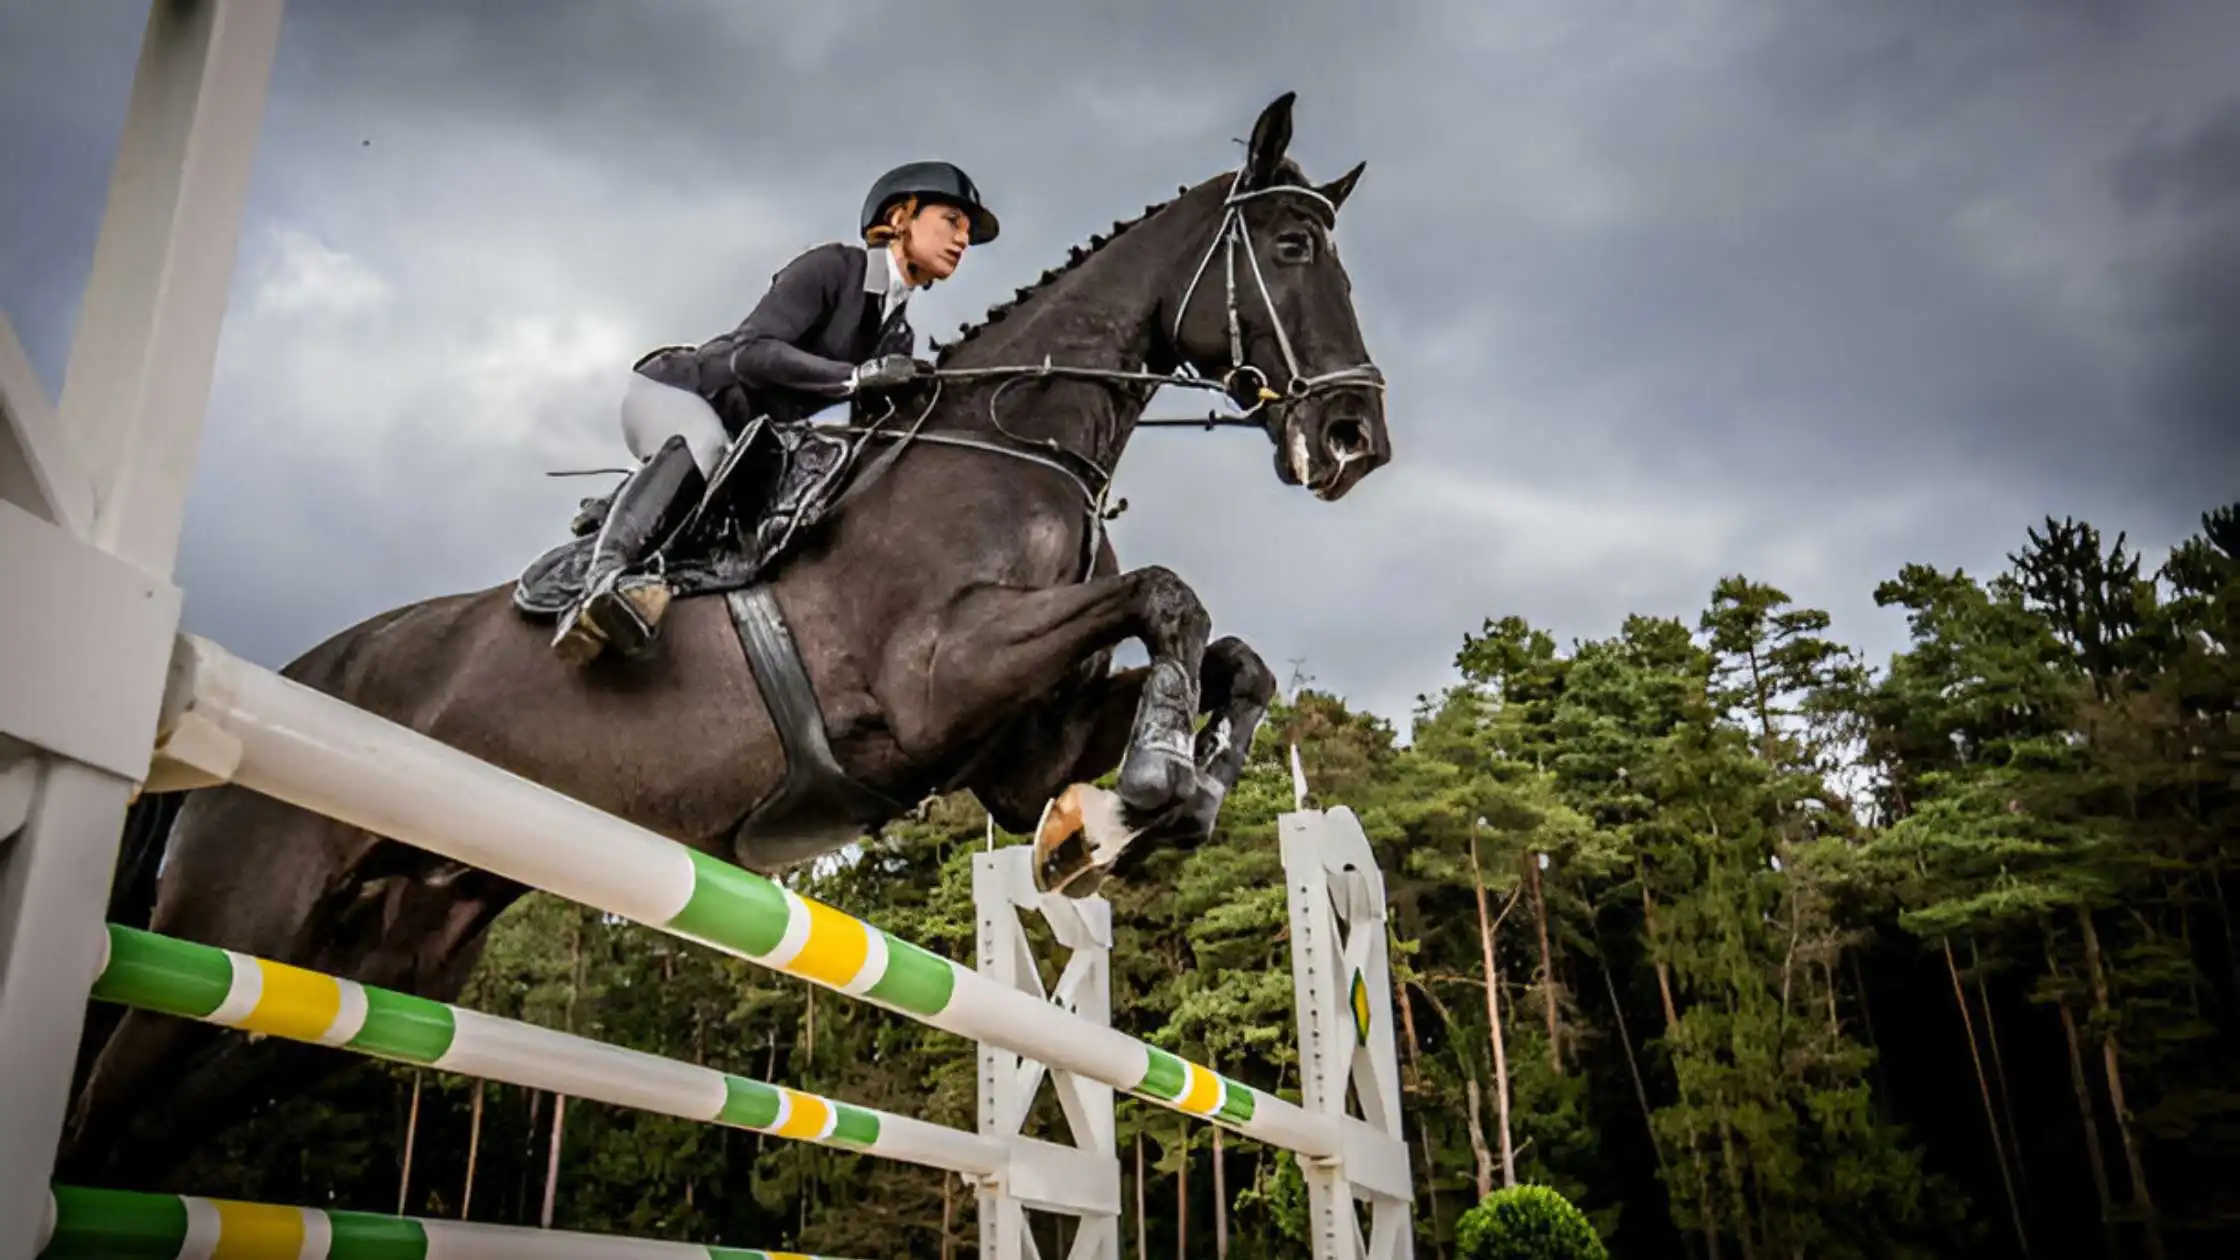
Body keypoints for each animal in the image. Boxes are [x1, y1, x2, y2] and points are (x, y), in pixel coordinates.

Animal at [61, 90, 1389, 1188]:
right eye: (1287, 248)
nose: (1354, 440)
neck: (1013, 442)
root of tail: (254, 680)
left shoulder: (1010, 746)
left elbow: (1225, 659)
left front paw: (1127, 817)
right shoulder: (930, 679)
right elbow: (1170, 598)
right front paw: (1151, 789)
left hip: (350, 985)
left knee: (148, 1127)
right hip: (240, 923)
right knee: (100, 1105)